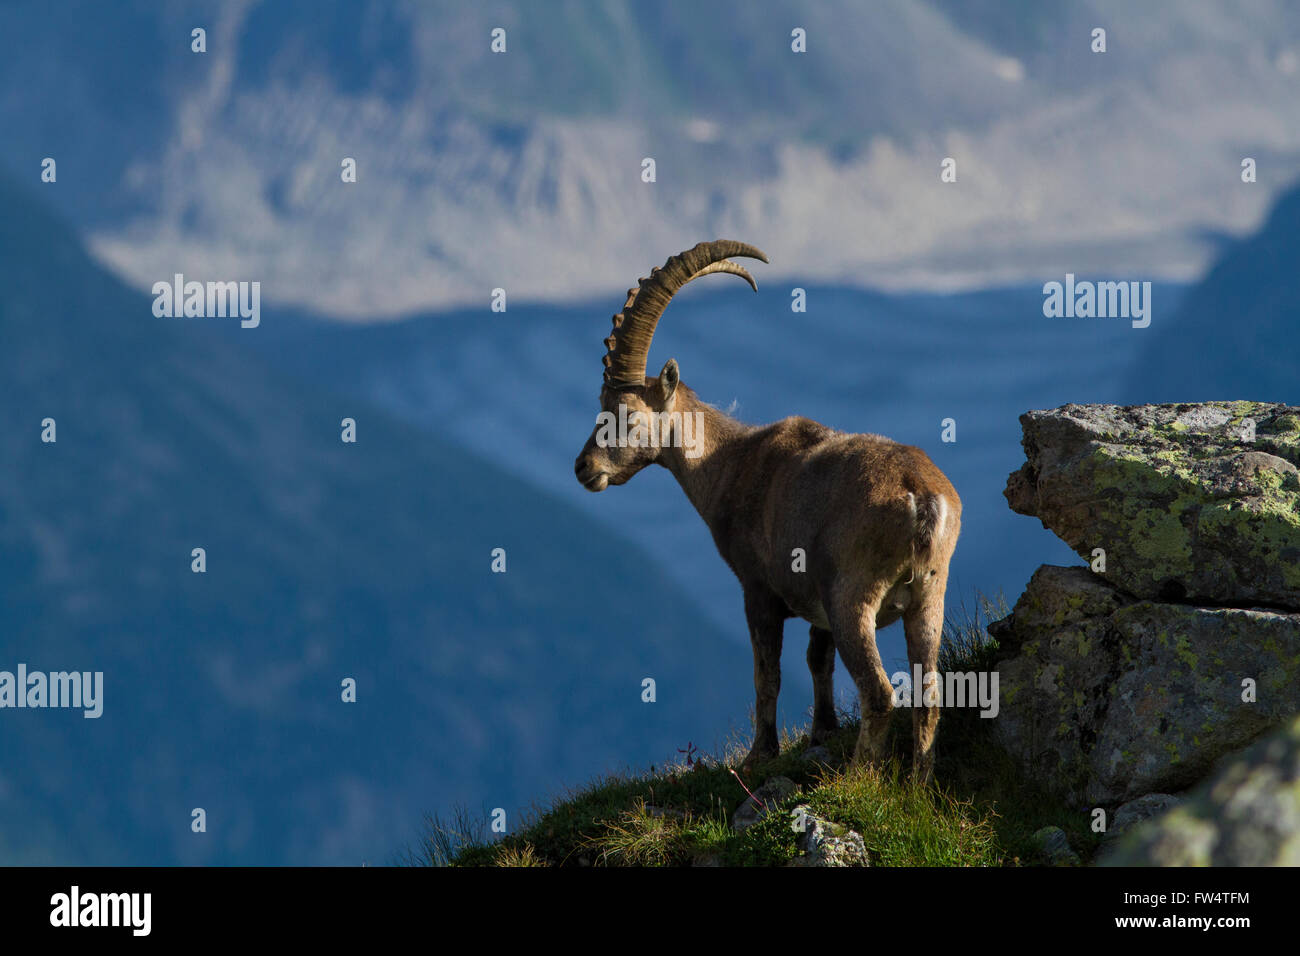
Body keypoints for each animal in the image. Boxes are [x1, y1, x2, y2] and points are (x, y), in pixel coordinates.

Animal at [573, 240, 961, 781]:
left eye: (626, 415)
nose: (583, 467)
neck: (730, 462)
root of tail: (920, 498)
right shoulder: (816, 605)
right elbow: (817, 660)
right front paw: (822, 731)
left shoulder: (757, 589)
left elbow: (767, 674)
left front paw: (761, 753)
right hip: (929, 596)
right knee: (929, 696)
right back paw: (917, 786)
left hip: (853, 597)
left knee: (881, 694)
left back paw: (857, 779)